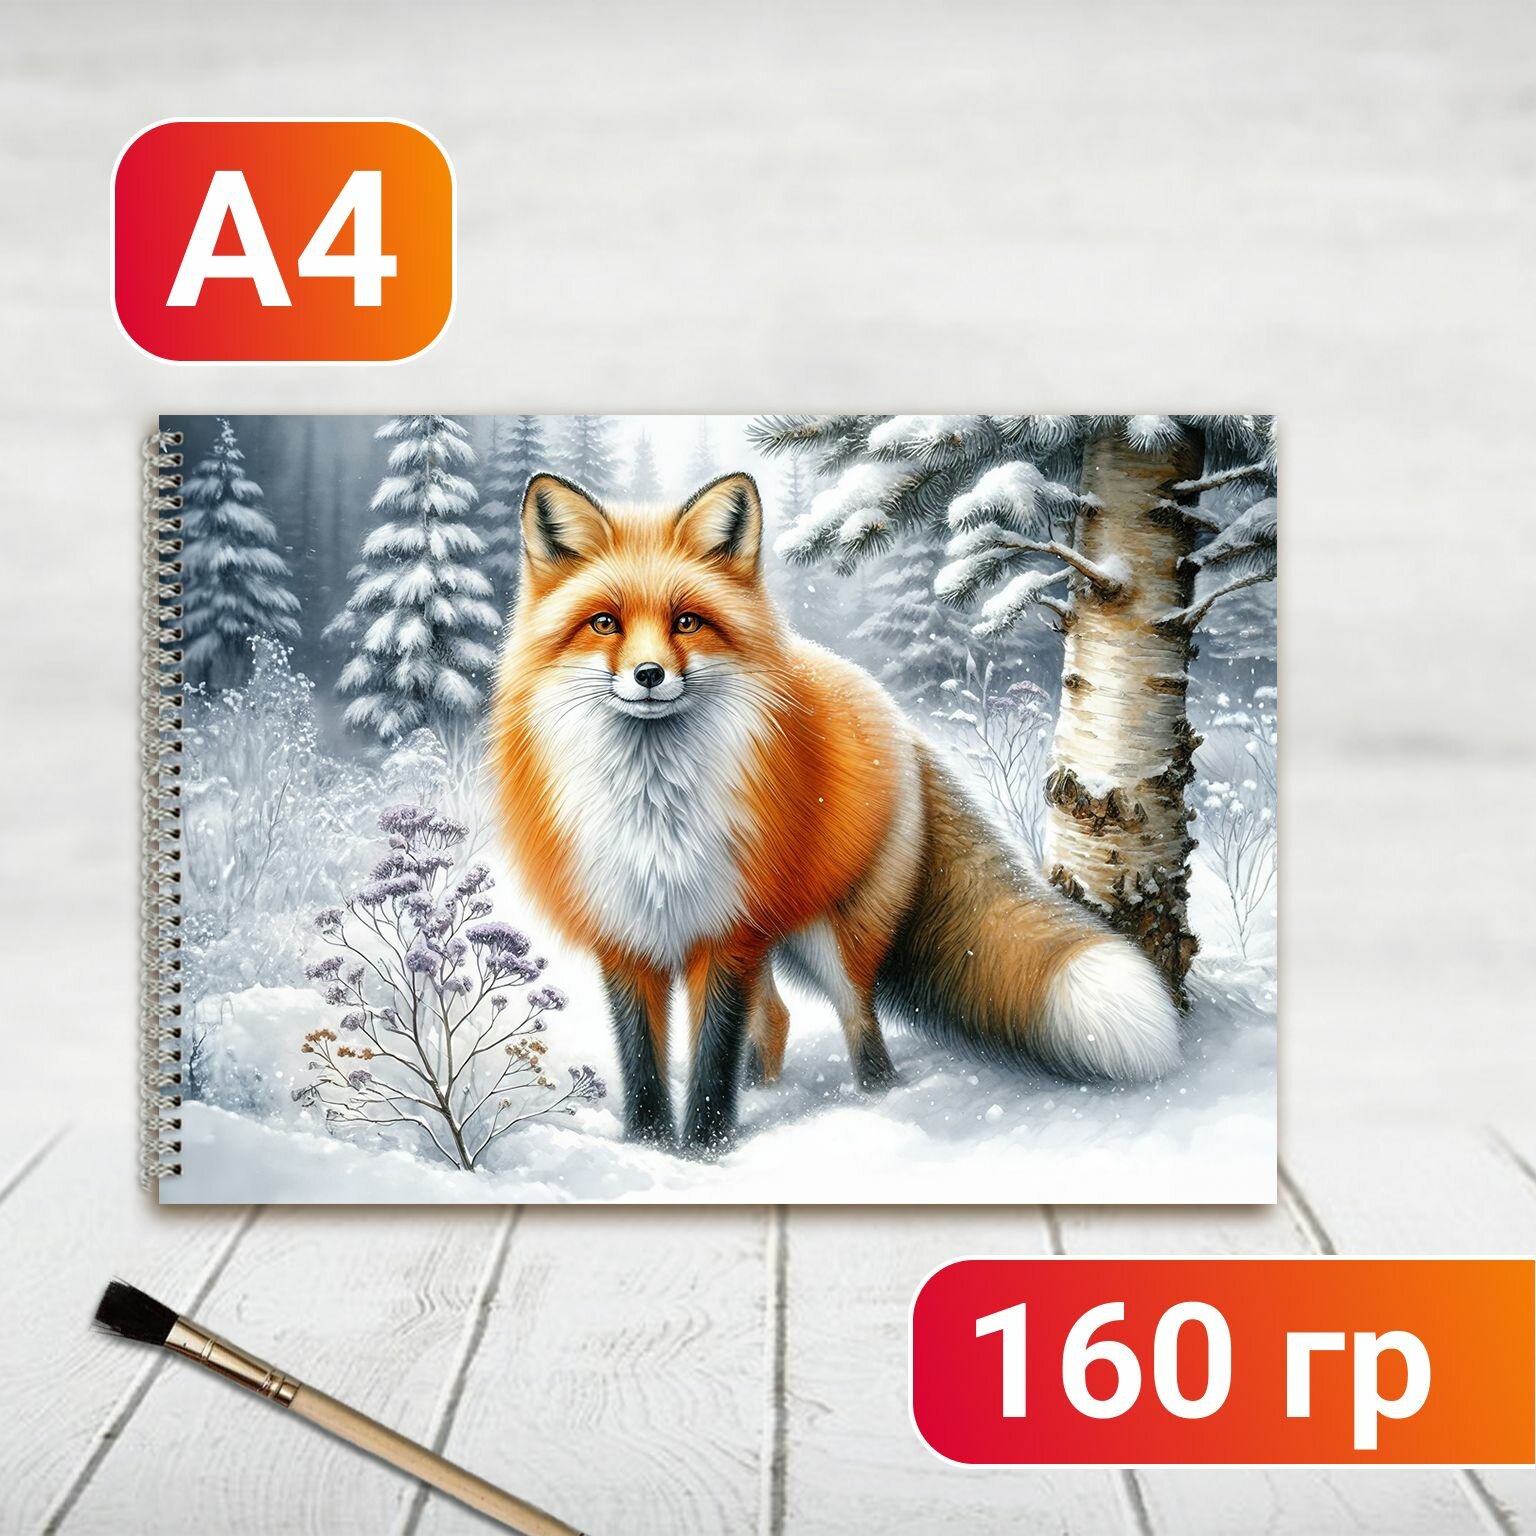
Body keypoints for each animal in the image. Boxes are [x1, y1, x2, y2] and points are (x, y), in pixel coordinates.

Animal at [489, 470, 1180, 1153]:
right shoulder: (627, 939)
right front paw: (651, 1145)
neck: (655, 815)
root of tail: (890, 711)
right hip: (774, 936)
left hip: (830, 936)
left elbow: (711, 1059)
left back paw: (873, 1100)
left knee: (859, 1022)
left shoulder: (727, 937)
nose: (650, 674)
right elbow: (642, 1064)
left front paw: (707, 1147)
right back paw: (763, 1091)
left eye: (687, 622)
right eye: (605, 623)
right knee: (777, 1017)